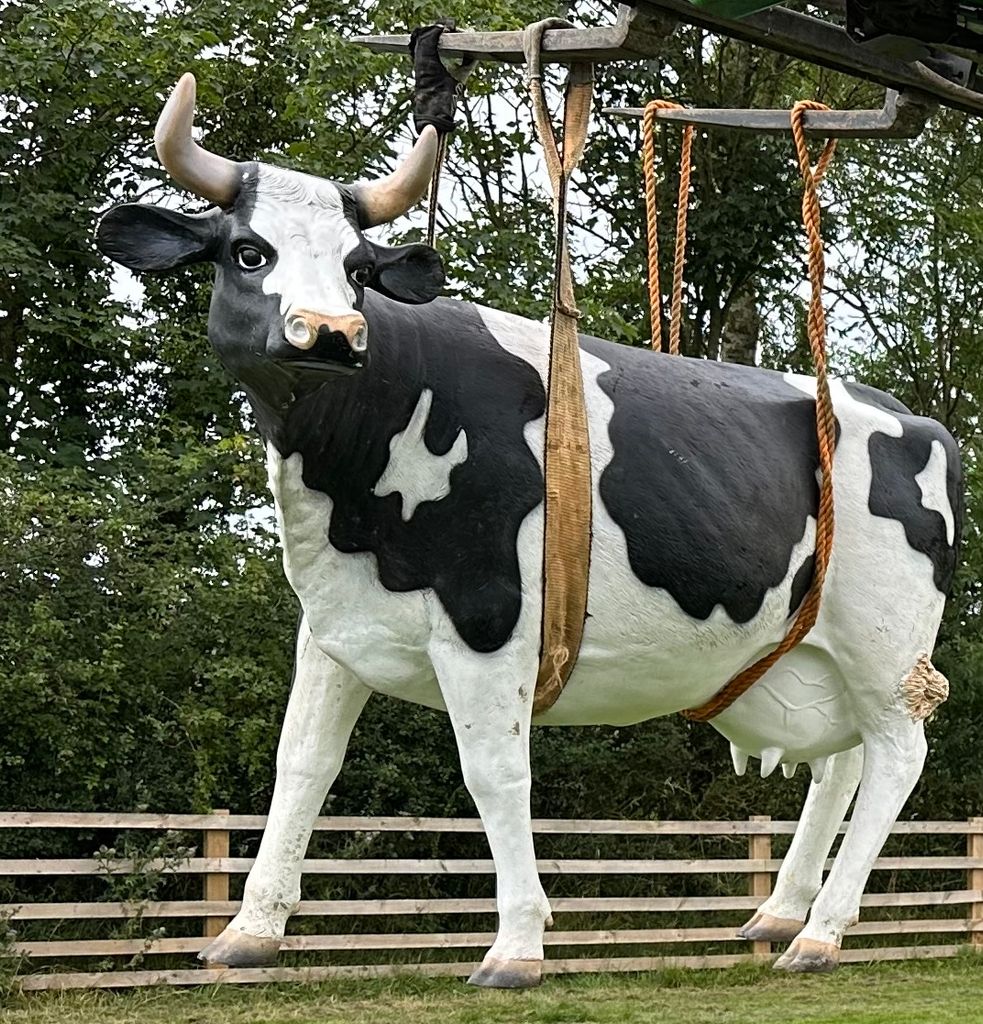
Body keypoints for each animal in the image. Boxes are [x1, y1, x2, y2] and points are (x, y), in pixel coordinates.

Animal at [96, 73, 962, 987]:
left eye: (358, 268)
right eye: (248, 252)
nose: (331, 333)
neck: (347, 492)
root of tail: (908, 415)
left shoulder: (488, 620)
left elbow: (494, 775)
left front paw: (515, 947)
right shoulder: (333, 628)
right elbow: (300, 765)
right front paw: (248, 934)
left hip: (886, 650)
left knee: (894, 759)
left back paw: (820, 932)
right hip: (820, 654)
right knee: (838, 766)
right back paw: (779, 914)